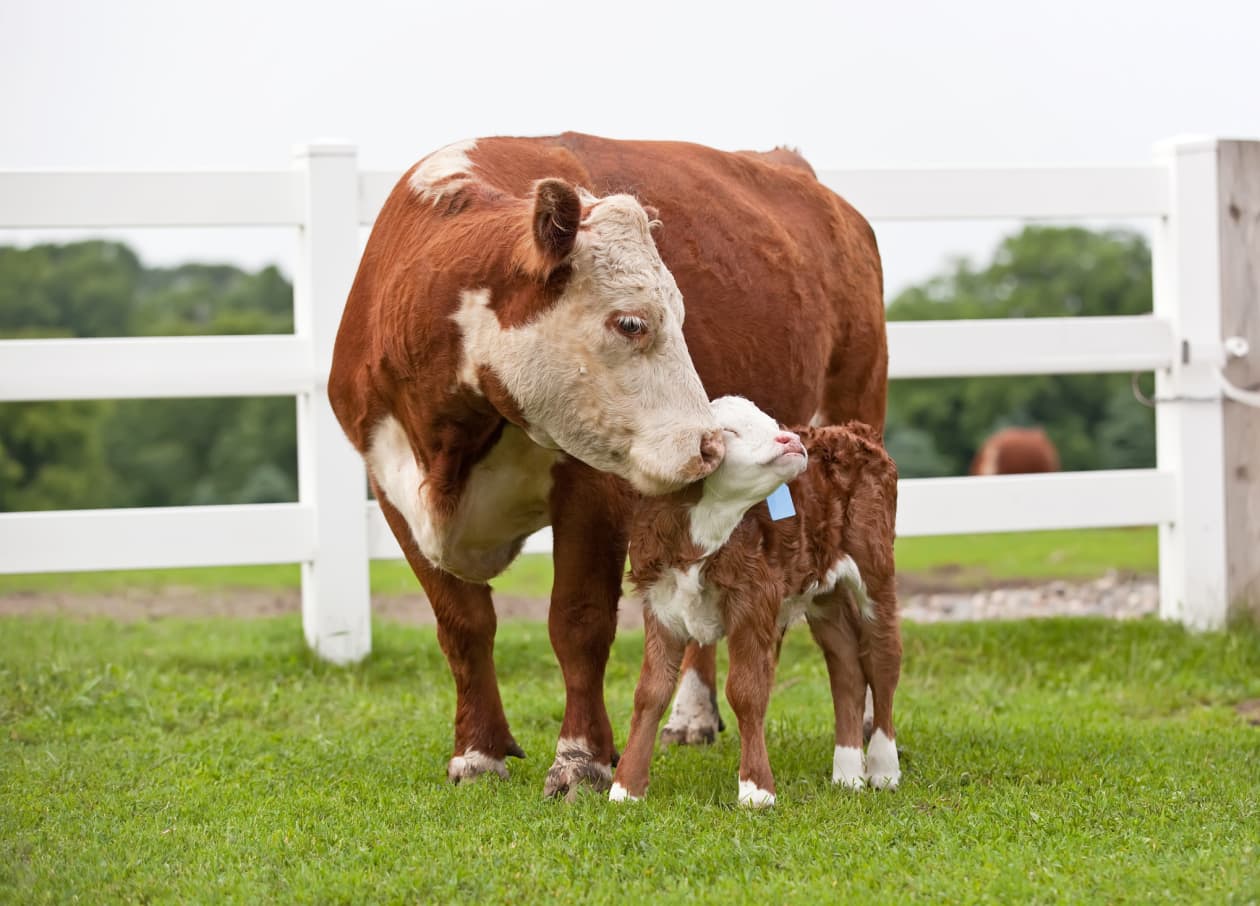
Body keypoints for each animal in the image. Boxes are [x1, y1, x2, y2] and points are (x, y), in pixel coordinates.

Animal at [610, 397, 901, 807]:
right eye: (728, 431)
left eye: (772, 422)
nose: (791, 439)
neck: (702, 535)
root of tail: (851, 430)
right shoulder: (660, 604)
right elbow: (650, 692)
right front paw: (625, 788)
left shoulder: (753, 602)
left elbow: (746, 691)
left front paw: (756, 790)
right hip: (824, 592)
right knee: (846, 667)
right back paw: (846, 774)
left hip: (874, 569)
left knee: (883, 659)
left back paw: (883, 768)